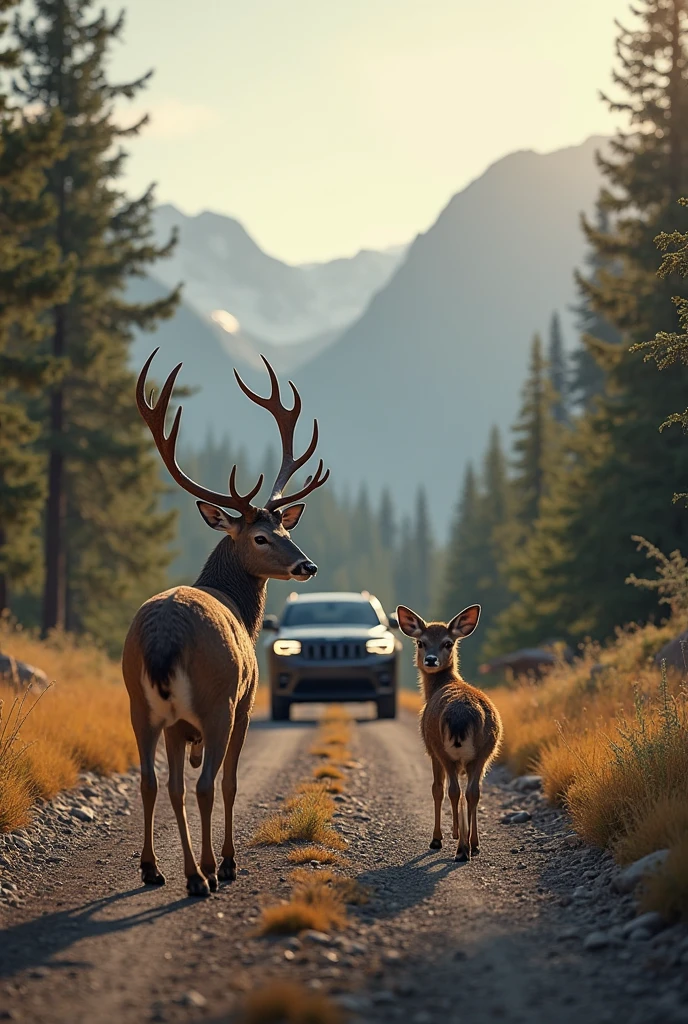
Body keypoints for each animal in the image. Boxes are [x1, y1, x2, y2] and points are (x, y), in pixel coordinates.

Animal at [122, 350, 329, 897]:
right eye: (259, 537)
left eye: (284, 528)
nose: (307, 566)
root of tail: (165, 635)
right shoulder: (247, 700)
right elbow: (231, 783)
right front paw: (230, 861)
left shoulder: (177, 725)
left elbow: (169, 786)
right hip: (216, 701)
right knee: (204, 784)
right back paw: (208, 872)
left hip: (139, 703)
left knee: (155, 783)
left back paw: (158, 869)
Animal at [396, 604, 502, 862]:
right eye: (421, 642)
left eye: (448, 643)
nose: (431, 659)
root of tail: (461, 715)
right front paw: (462, 836)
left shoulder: (431, 750)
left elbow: (437, 789)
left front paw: (441, 837)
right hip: (486, 750)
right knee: (473, 792)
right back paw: (473, 844)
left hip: (442, 748)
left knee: (452, 790)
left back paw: (459, 847)